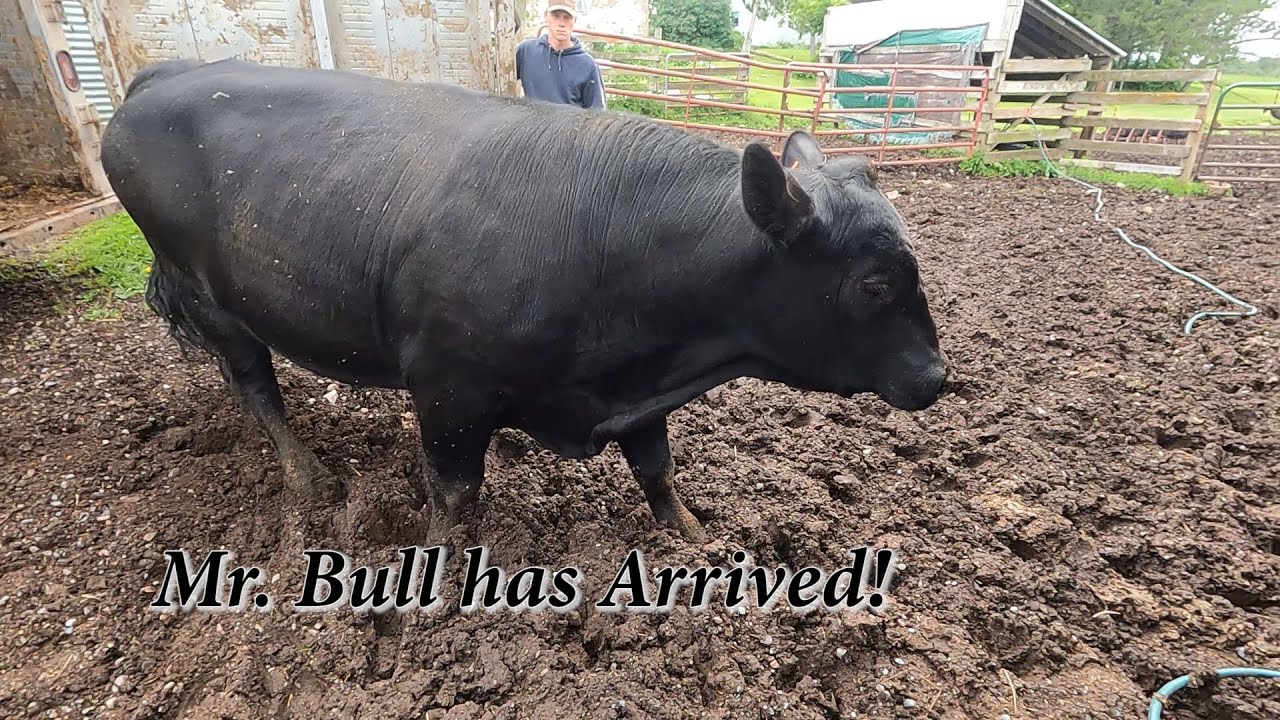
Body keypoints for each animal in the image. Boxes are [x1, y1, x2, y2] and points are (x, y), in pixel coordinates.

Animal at [100, 58, 948, 543]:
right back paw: (307, 475)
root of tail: (164, 75)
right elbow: (454, 493)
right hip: (212, 298)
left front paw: (695, 535)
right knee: (255, 385)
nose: (939, 377)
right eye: (875, 283)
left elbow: (658, 468)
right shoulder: (446, 391)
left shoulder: (643, 384)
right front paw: (437, 577)